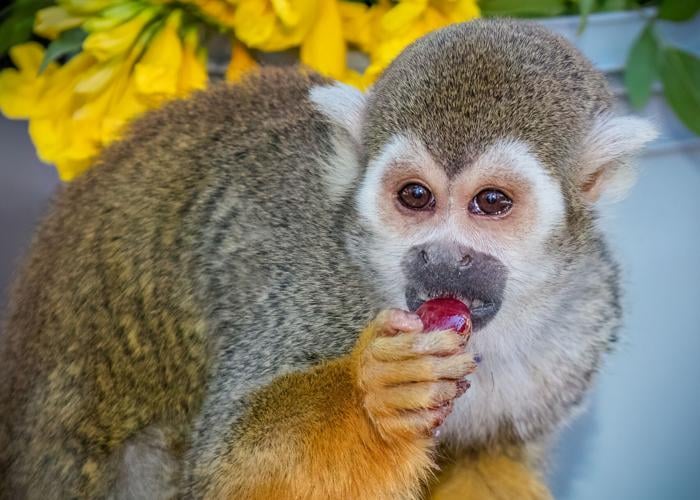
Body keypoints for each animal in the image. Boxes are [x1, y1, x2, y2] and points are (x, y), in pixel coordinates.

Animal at [0, 19, 656, 499]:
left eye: (491, 203)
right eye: (414, 197)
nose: (442, 259)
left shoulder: (578, 330)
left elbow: (479, 460)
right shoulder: (312, 285)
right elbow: (230, 475)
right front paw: (373, 394)